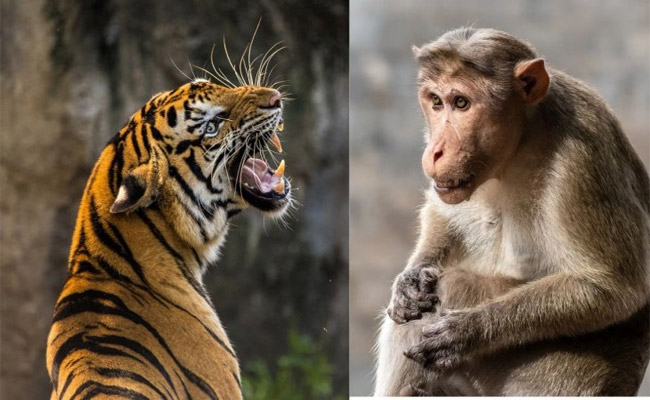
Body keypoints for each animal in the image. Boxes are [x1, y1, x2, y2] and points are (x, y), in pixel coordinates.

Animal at [373, 28, 650, 396]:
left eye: (461, 103)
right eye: (436, 101)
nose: (434, 151)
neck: (523, 140)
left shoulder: (583, 159)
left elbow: (613, 288)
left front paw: (467, 332)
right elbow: (442, 214)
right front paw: (410, 279)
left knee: (452, 287)